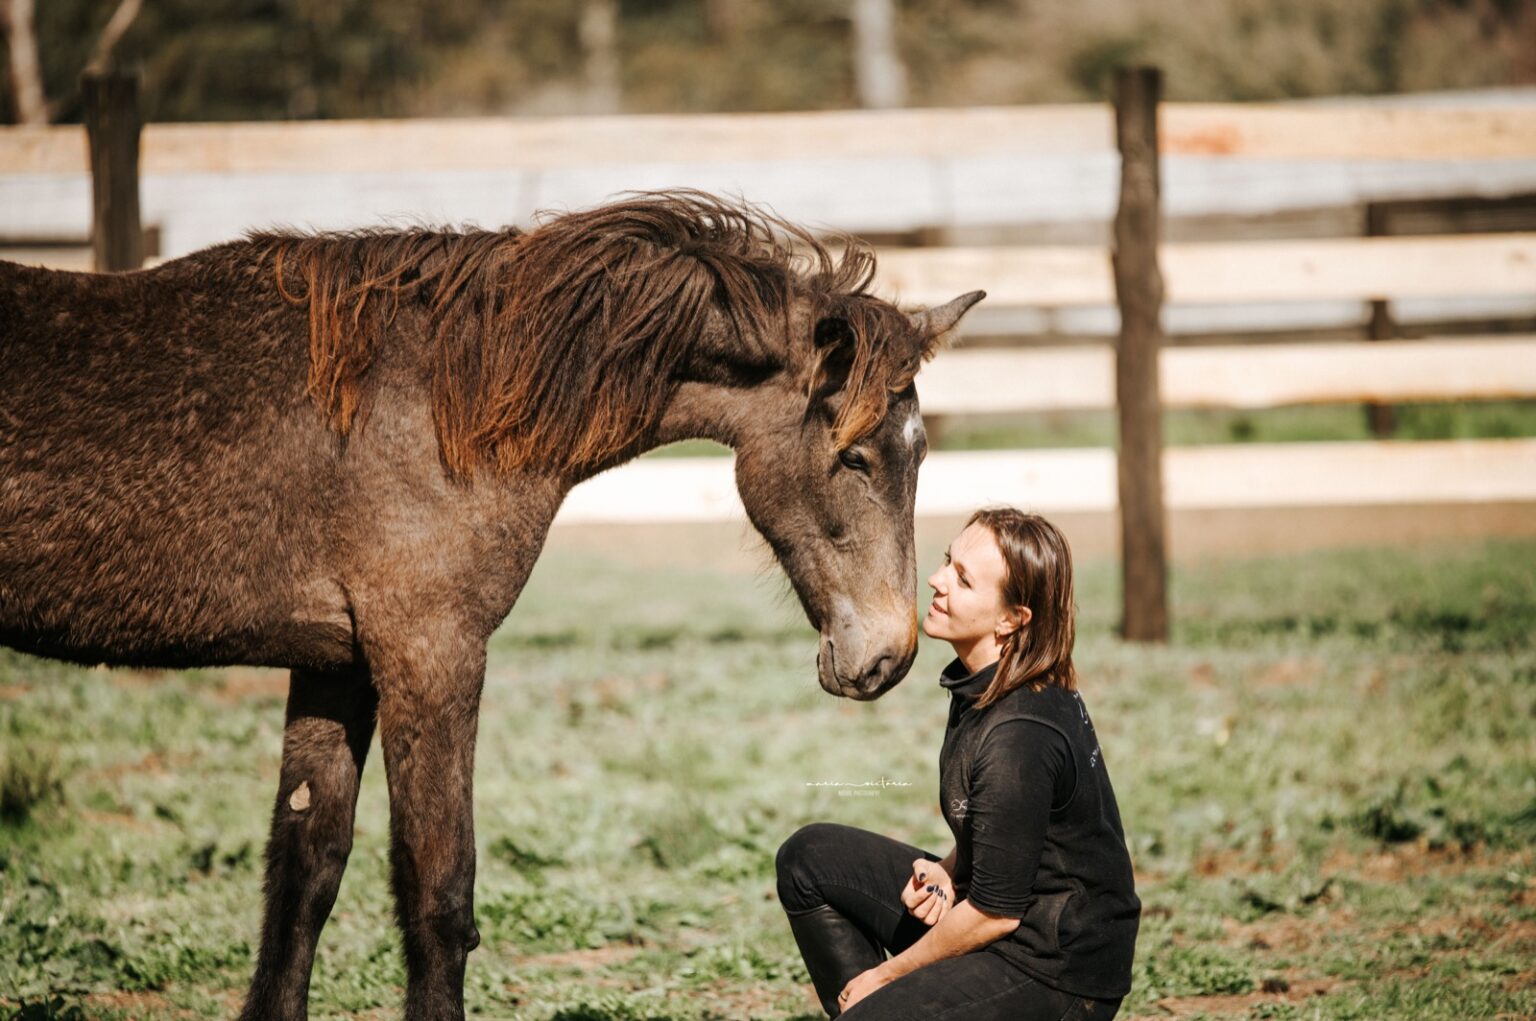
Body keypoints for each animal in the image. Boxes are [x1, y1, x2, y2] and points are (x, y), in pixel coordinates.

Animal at [0, 191, 984, 1020]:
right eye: (855, 455)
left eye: (920, 452)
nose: (886, 654)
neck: (437, 398)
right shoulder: (430, 654)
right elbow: (439, 891)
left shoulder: (335, 663)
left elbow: (304, 872)